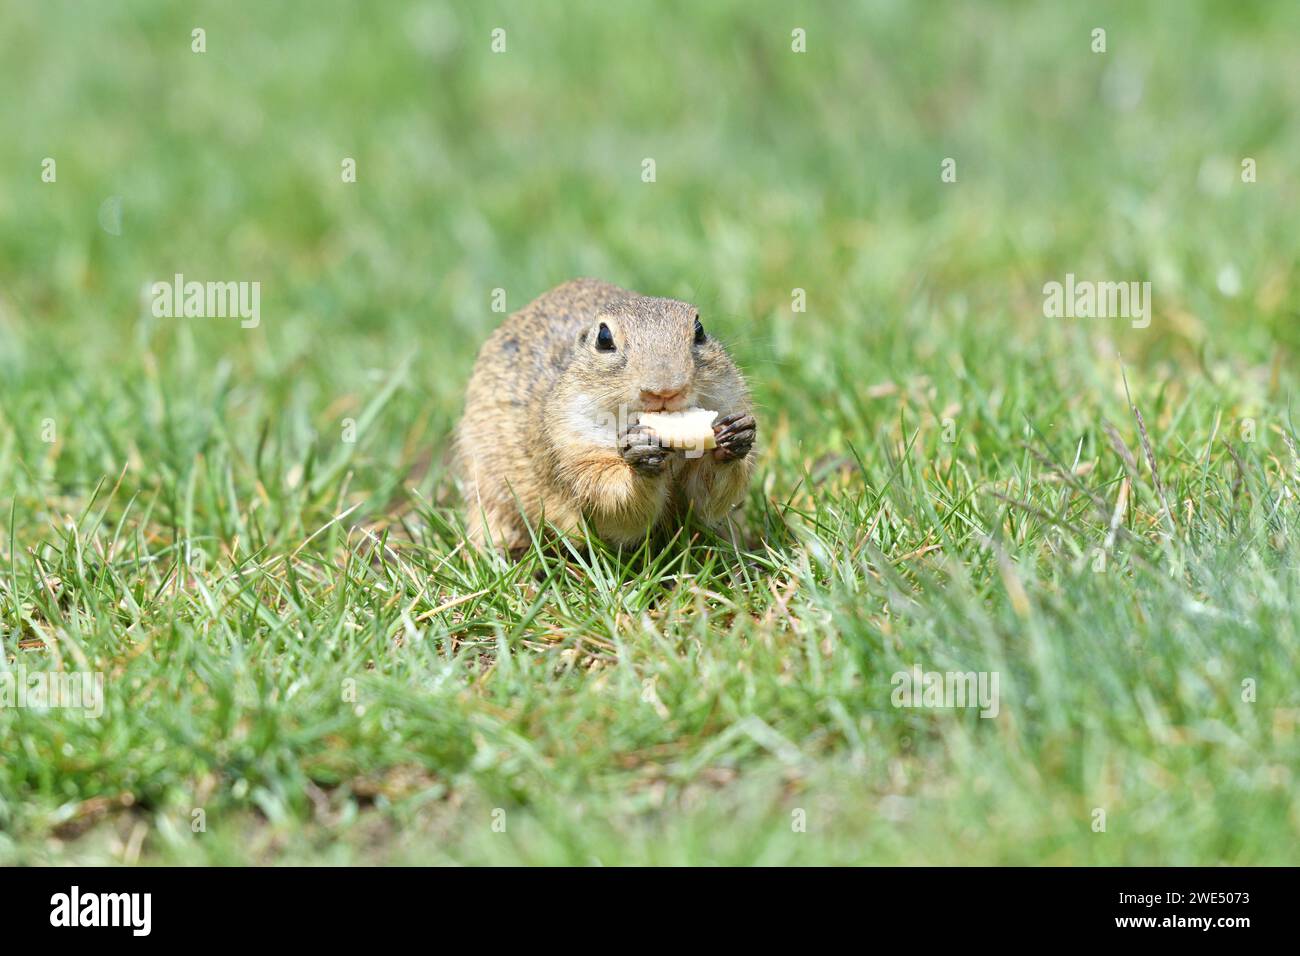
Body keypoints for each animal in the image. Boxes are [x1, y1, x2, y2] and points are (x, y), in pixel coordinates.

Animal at [454, 279, 757, 553]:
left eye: (699, 330)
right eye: (603, 338)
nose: (665, 390)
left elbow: (709, 496)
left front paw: (735, 437)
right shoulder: (573, 457)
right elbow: (615, 502)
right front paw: (640, 453)